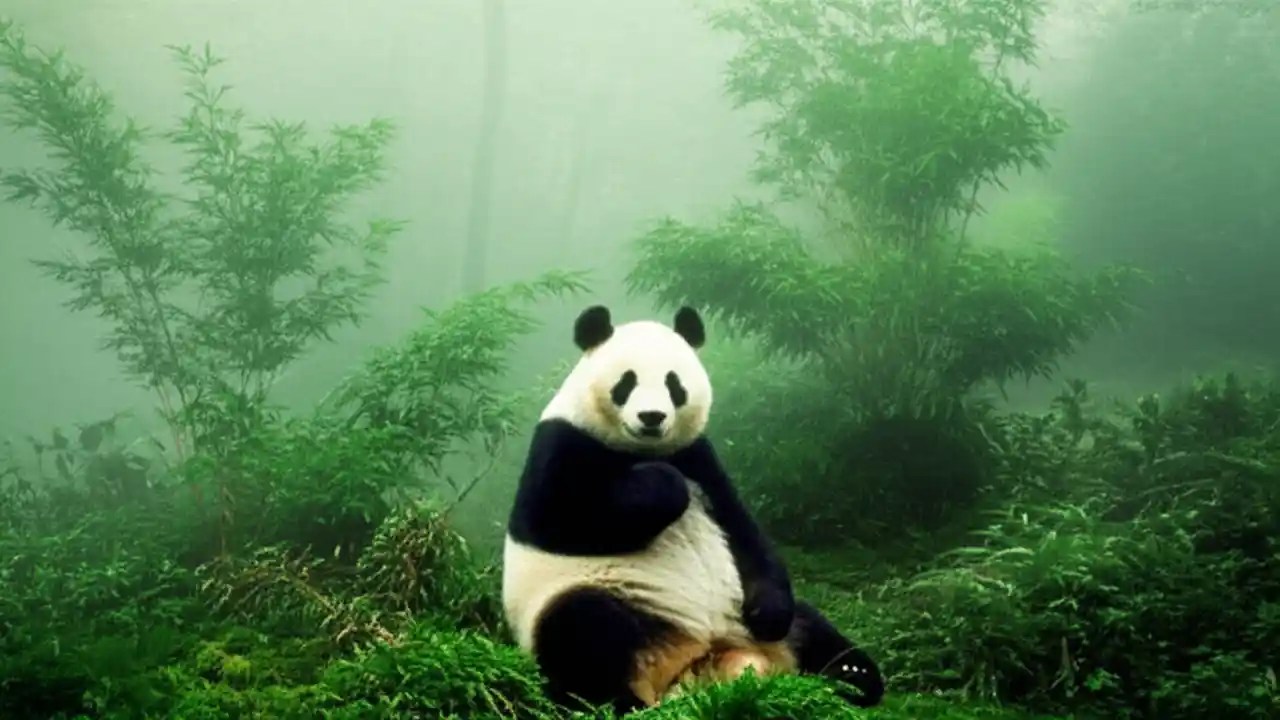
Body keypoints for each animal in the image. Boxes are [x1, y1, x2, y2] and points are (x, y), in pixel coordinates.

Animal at [501, 304, 884, 713]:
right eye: (626, 382)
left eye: (674, 384)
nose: (651, 417)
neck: (641, 450)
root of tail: (702, 663)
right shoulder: (561, 446)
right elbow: (563, 519)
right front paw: (664, 483)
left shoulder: (700, 459)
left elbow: (745, 533)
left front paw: (768, 615)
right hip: (598, 599)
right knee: (583, 635)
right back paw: (621, 702)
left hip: (743, 621)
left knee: (811, 628)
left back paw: (853, 677)